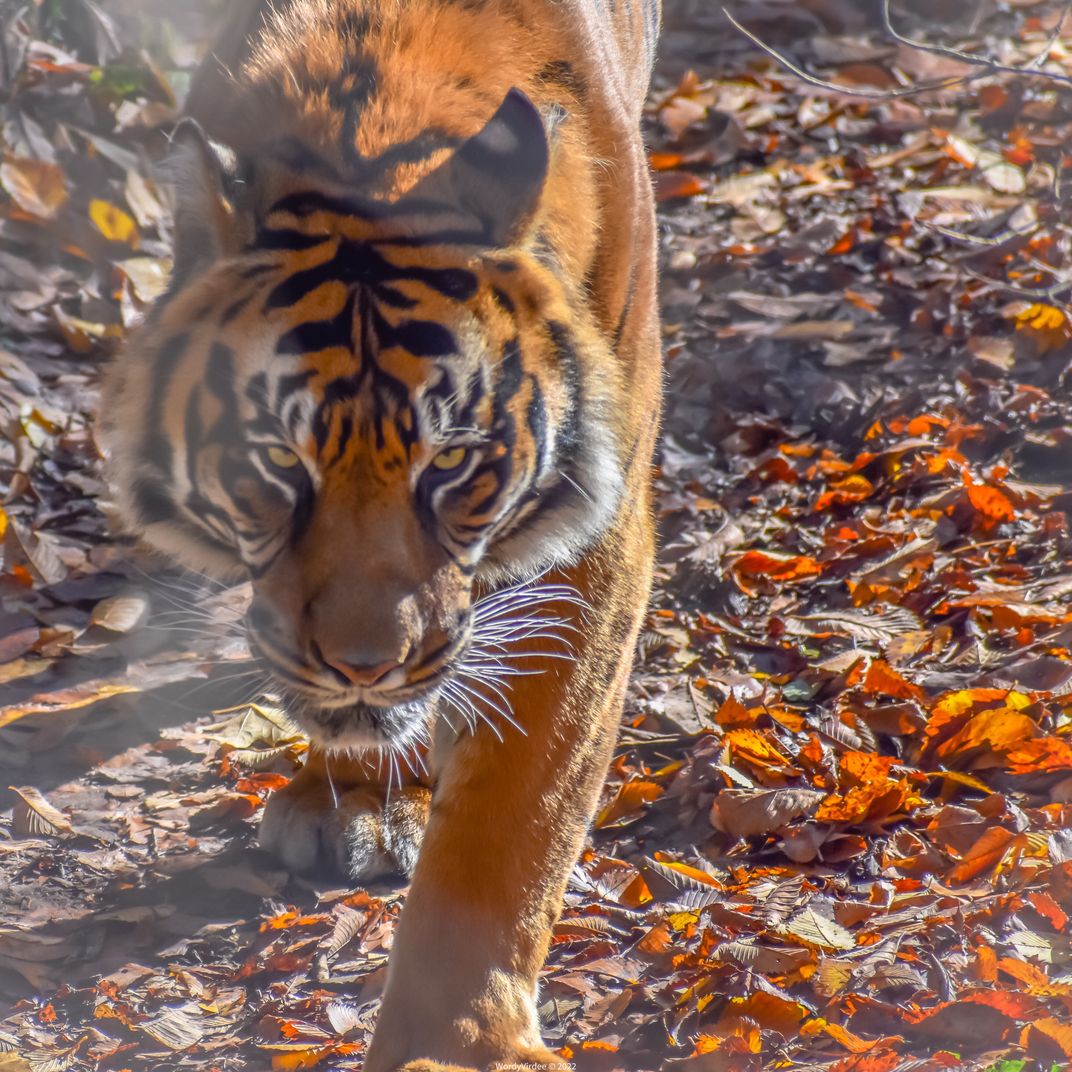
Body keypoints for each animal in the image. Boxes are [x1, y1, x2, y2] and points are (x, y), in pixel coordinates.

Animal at [99, 0, 661, 1067]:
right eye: (280, 464)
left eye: (451, 465)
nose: (365, 665)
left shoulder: (592, 548)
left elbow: (514, 820)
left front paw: (454, 1042)